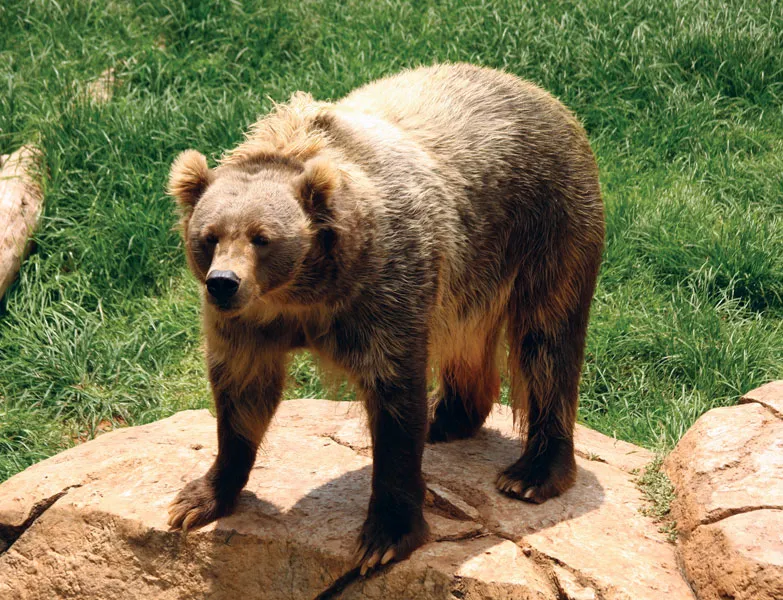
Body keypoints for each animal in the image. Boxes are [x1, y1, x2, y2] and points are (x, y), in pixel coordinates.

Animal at [166, 63, 604, 574]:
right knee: (468, 338)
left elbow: (394, 402)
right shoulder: (248, 325)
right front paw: (197, 498)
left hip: (547, 227)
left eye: (261, 237)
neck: (303, 294)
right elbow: (240, 395)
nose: (223, 282)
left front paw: (385, 536)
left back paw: (531, 472)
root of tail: (536, 89)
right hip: (472, 270)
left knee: (548, 342)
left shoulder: (384, 292)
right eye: (209, 236)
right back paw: (448, 416)